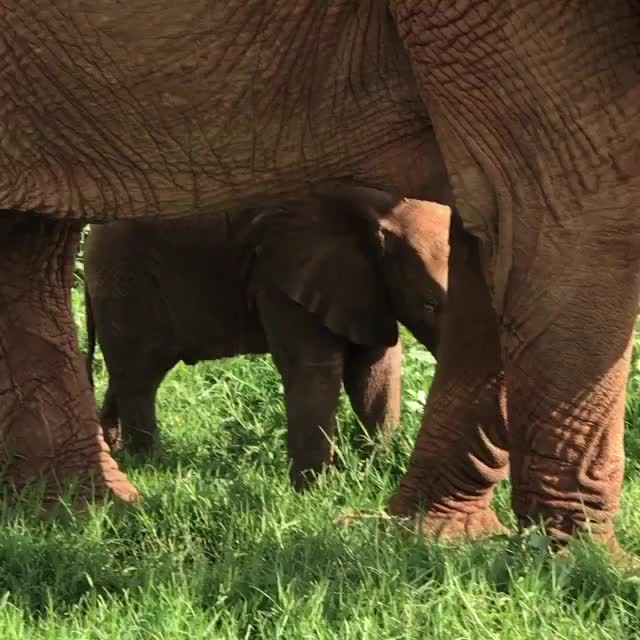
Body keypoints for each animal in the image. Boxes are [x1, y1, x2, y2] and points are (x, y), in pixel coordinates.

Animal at [82, 189, 450, 488]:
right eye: (428, 304)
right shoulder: (281, 272)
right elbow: (313, 369)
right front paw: (313, 493)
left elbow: (375, 368)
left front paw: (380, 468)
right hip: (126, 281)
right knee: (140, 376)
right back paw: (148, 465)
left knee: (127, 375)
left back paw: (117, 452)